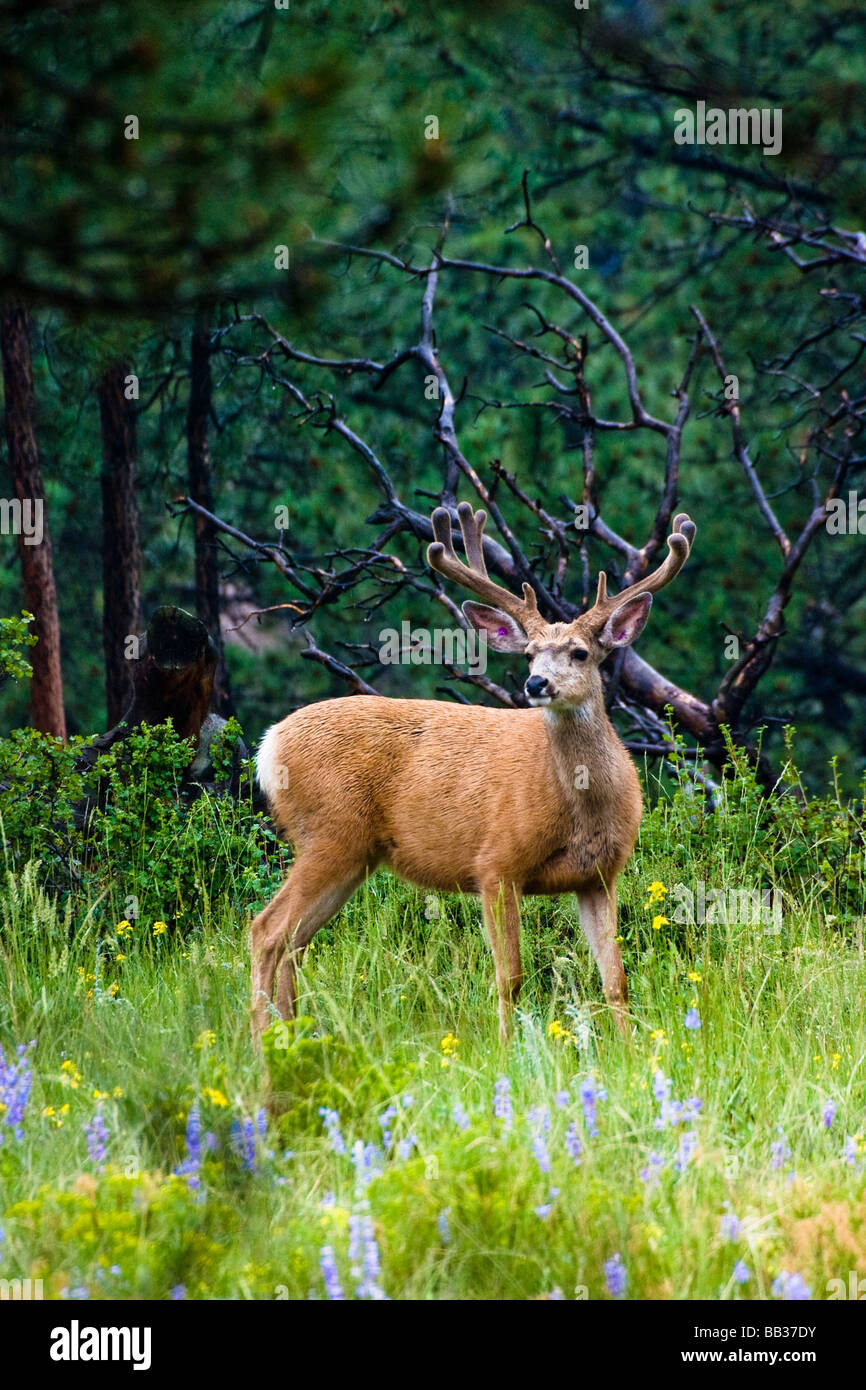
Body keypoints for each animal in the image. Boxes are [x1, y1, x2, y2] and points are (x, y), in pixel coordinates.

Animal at [251, 501, 696, 1044]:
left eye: (580, 652)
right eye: (529, 654)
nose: (536, 683)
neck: (580, 805)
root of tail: (268, 745)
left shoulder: (599, 875)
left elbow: (615, 978)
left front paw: (631, 1052)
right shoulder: (496, 864)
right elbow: (511, 977)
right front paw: (506, 1052)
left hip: (352, 854)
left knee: (293, 943)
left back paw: (289, 1038)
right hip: (328, 834)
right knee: (267, 931)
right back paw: (259, 1046)